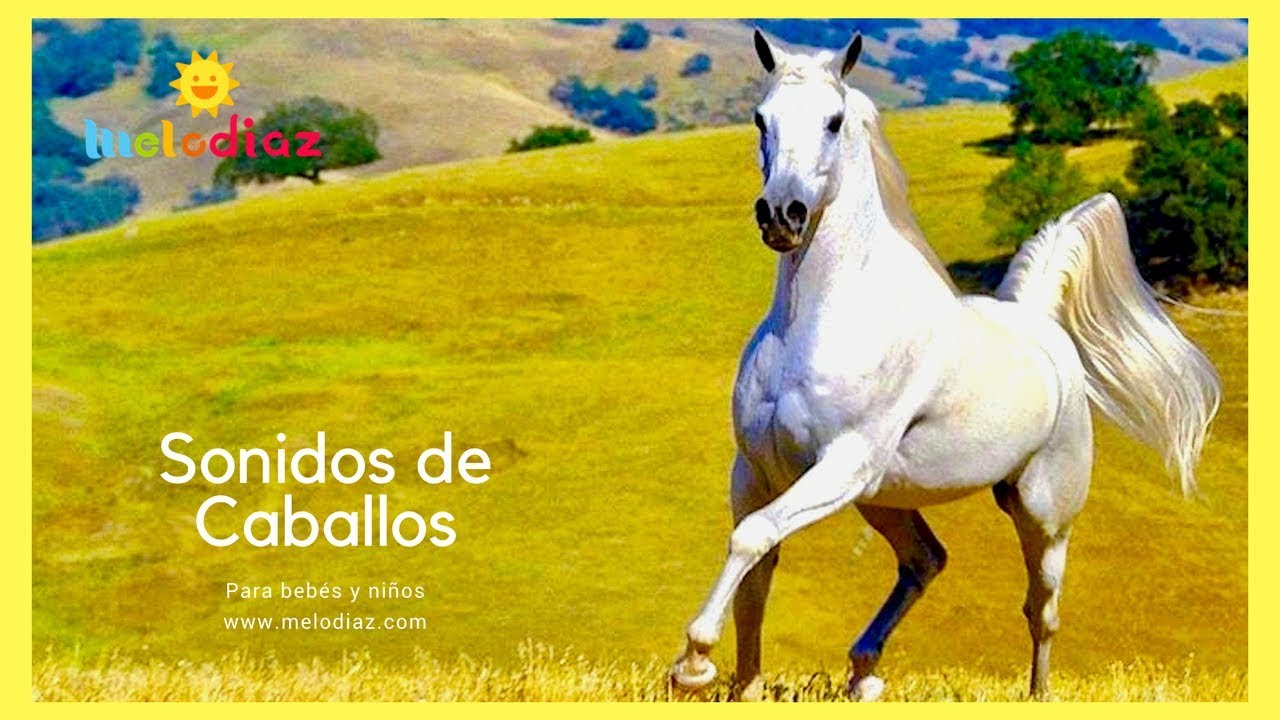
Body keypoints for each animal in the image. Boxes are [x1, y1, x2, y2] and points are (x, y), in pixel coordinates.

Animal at [668, 30, 1222, 701]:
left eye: (833, 121)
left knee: (1042, 611)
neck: (815, 323)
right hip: (882, 498)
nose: (782, 214)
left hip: (1041, 512)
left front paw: (693, 664)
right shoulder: (756, 471)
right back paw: (863, 672)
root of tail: (1040, 325)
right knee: (926, 560)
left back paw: (1033, 692)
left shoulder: (842, 463)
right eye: (760, 119)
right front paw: (739, 685)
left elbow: (751, 538)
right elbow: (756, 568)